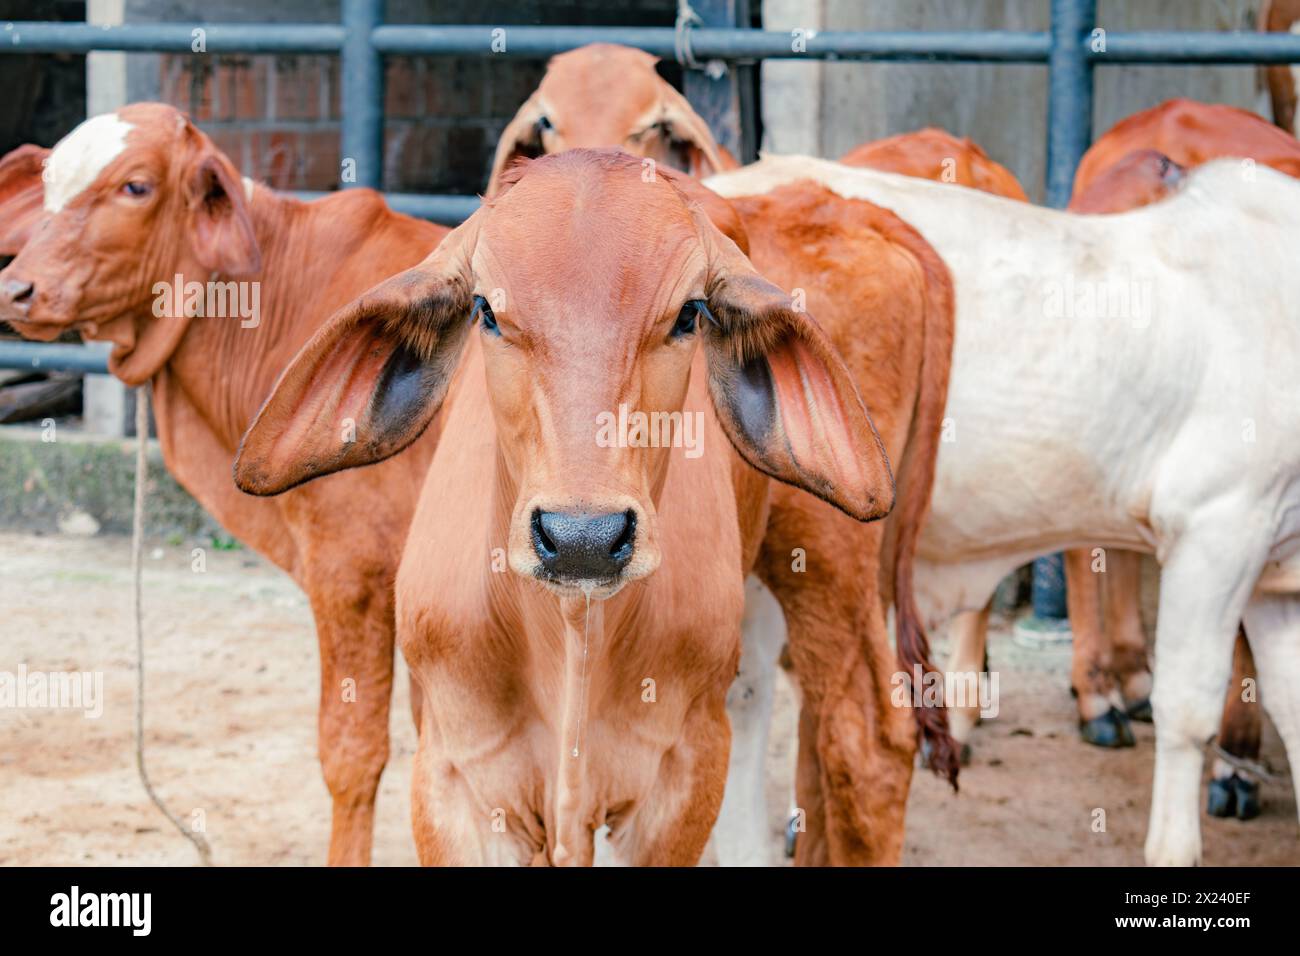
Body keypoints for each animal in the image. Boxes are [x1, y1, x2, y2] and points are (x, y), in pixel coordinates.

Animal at [233, 148, 958, 865]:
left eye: (690, 314)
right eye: (485, 311)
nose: (583, 538)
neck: (571, 637)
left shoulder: (682, 775)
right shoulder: (454, 777)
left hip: (828, 559)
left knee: (865, 742)